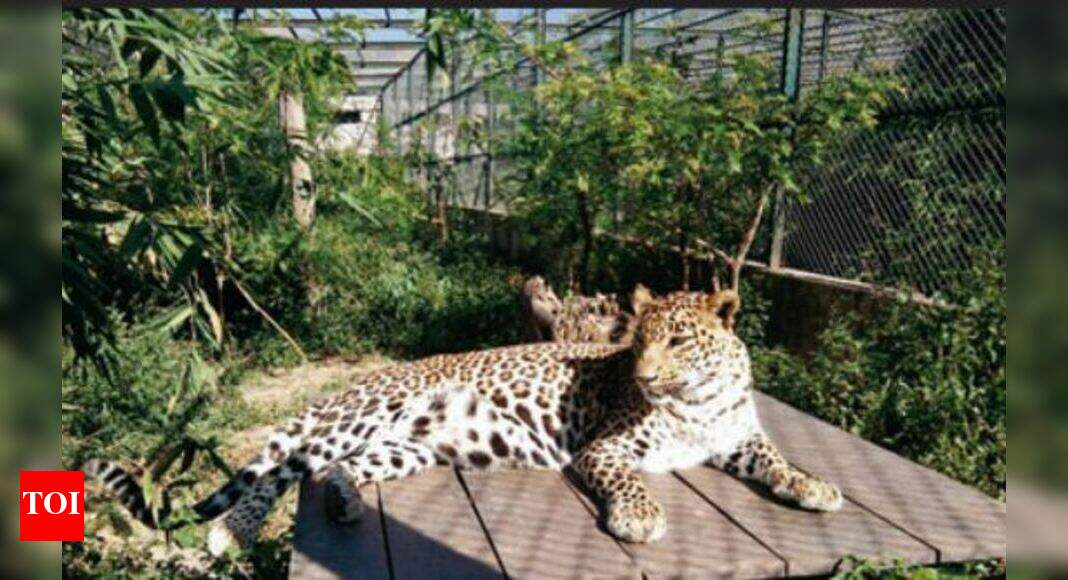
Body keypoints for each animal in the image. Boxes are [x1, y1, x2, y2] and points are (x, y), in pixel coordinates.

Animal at [86, 285, 841, 556]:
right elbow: (630, 479)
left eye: (680, 341)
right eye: (640, 343)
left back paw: (344, 503)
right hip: (352, 419)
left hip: (406, 447)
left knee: (333, 470)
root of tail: (355, 383)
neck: (700, 399)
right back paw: (230, 534)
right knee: (275, 474)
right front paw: (639, 516)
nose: (647, 375)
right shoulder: (604, 449)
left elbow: (776, 460)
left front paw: (813, 486)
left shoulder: (737, 437)